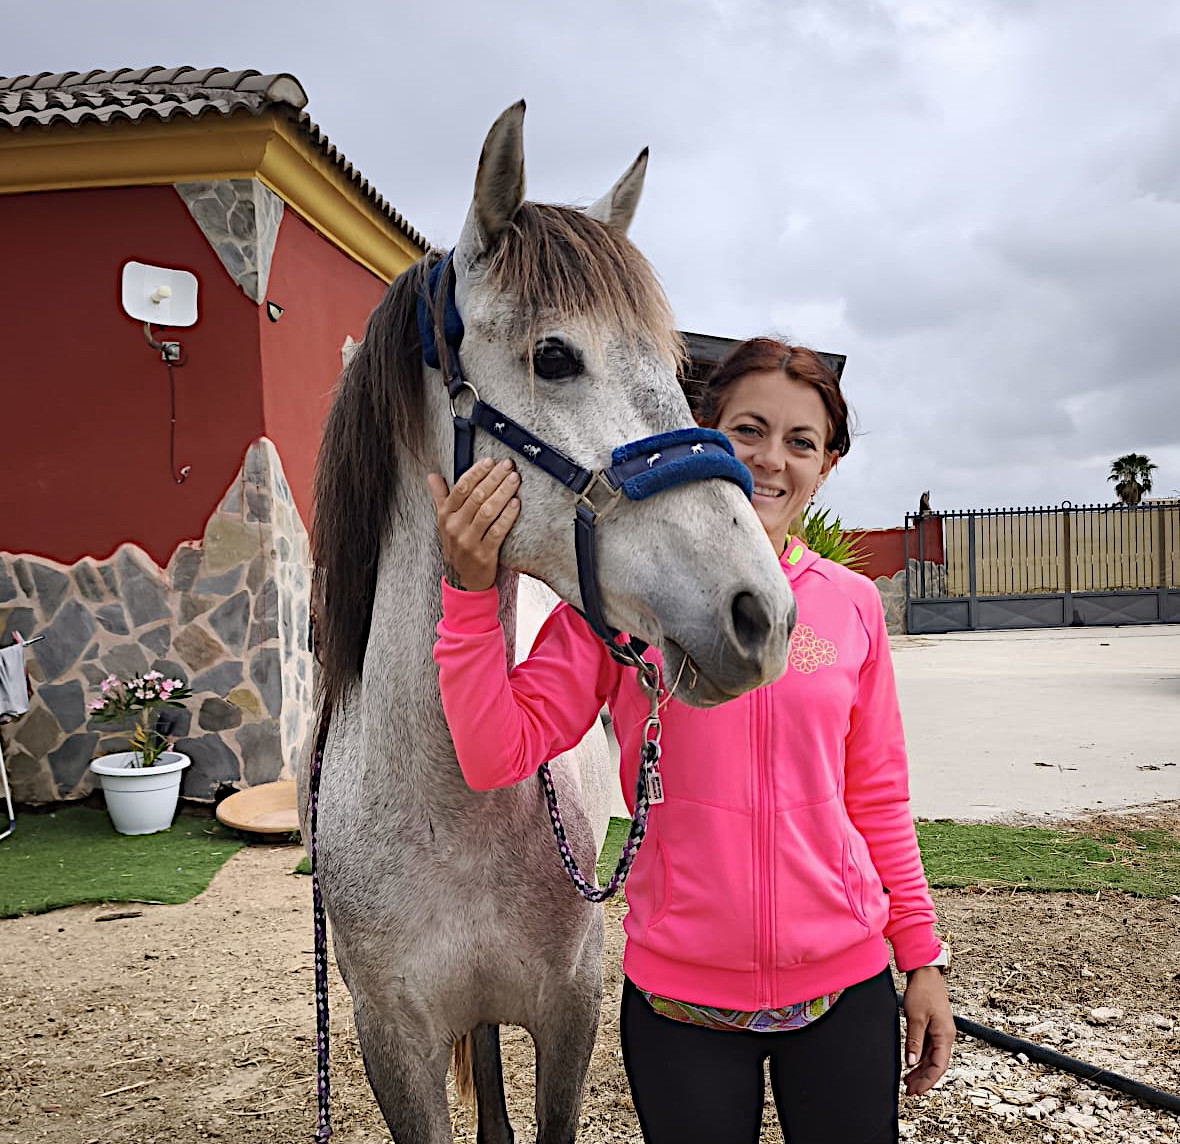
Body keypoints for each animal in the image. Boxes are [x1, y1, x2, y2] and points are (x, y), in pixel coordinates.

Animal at [300, 101, 796, 1144]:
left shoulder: (570, 1010)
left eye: (676, 369)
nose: (762, 614)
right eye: (554, 357)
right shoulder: (390, 1044)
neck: (447, 813)